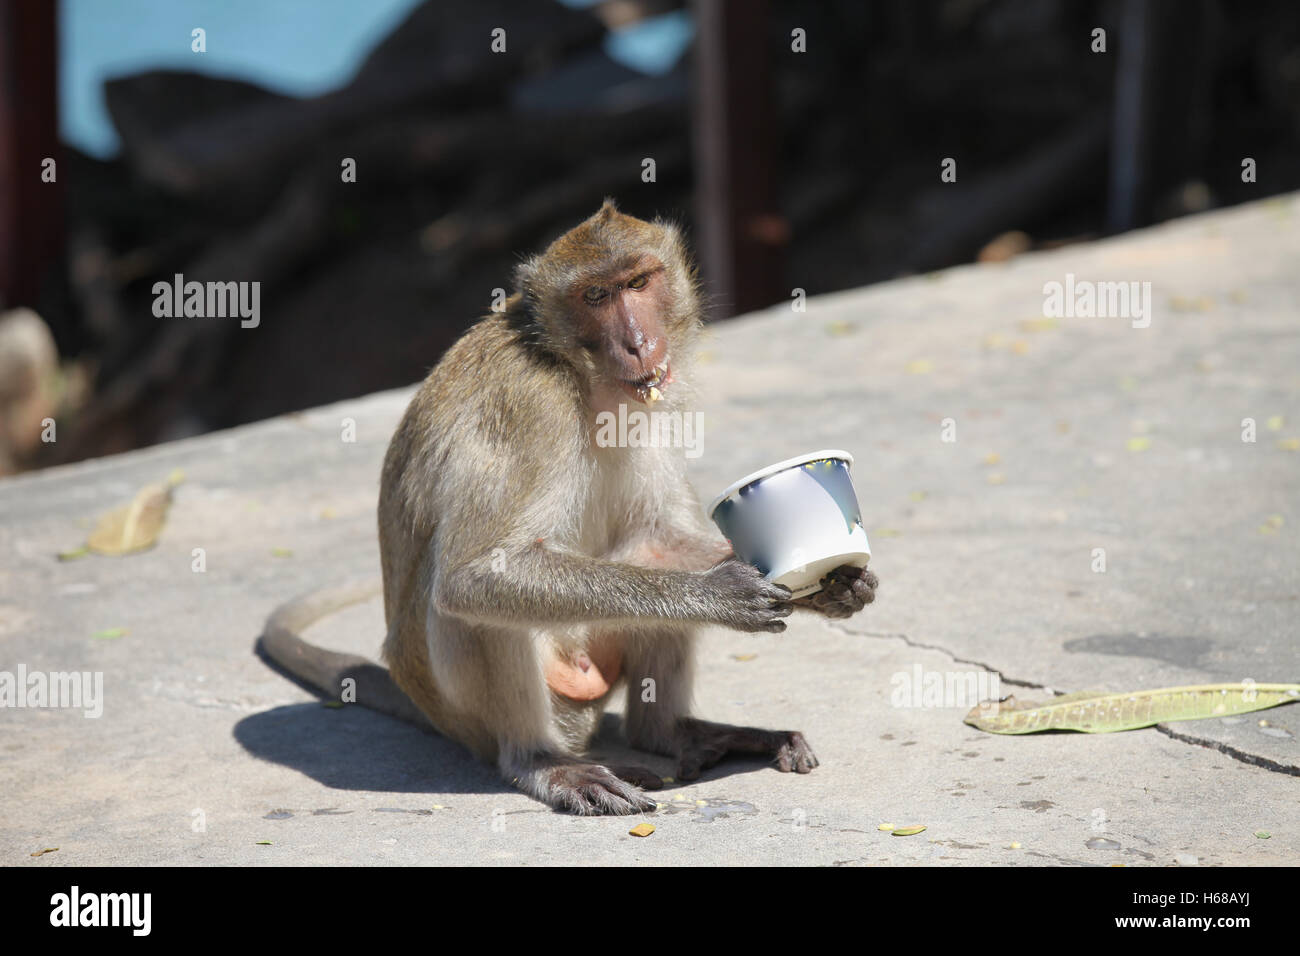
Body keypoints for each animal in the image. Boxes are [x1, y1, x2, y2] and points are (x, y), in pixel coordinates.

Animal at [259, 200, 878, 815]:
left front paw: (835, 587)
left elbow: (658, 534)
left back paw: (673, 732)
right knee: (472, 604)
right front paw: (719, 595)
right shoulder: (531, 402)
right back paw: (542, 762)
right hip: (479, 702)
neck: (582, 374)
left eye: (638, 282)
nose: (638, 343)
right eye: (595, 297)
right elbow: (474, 575)